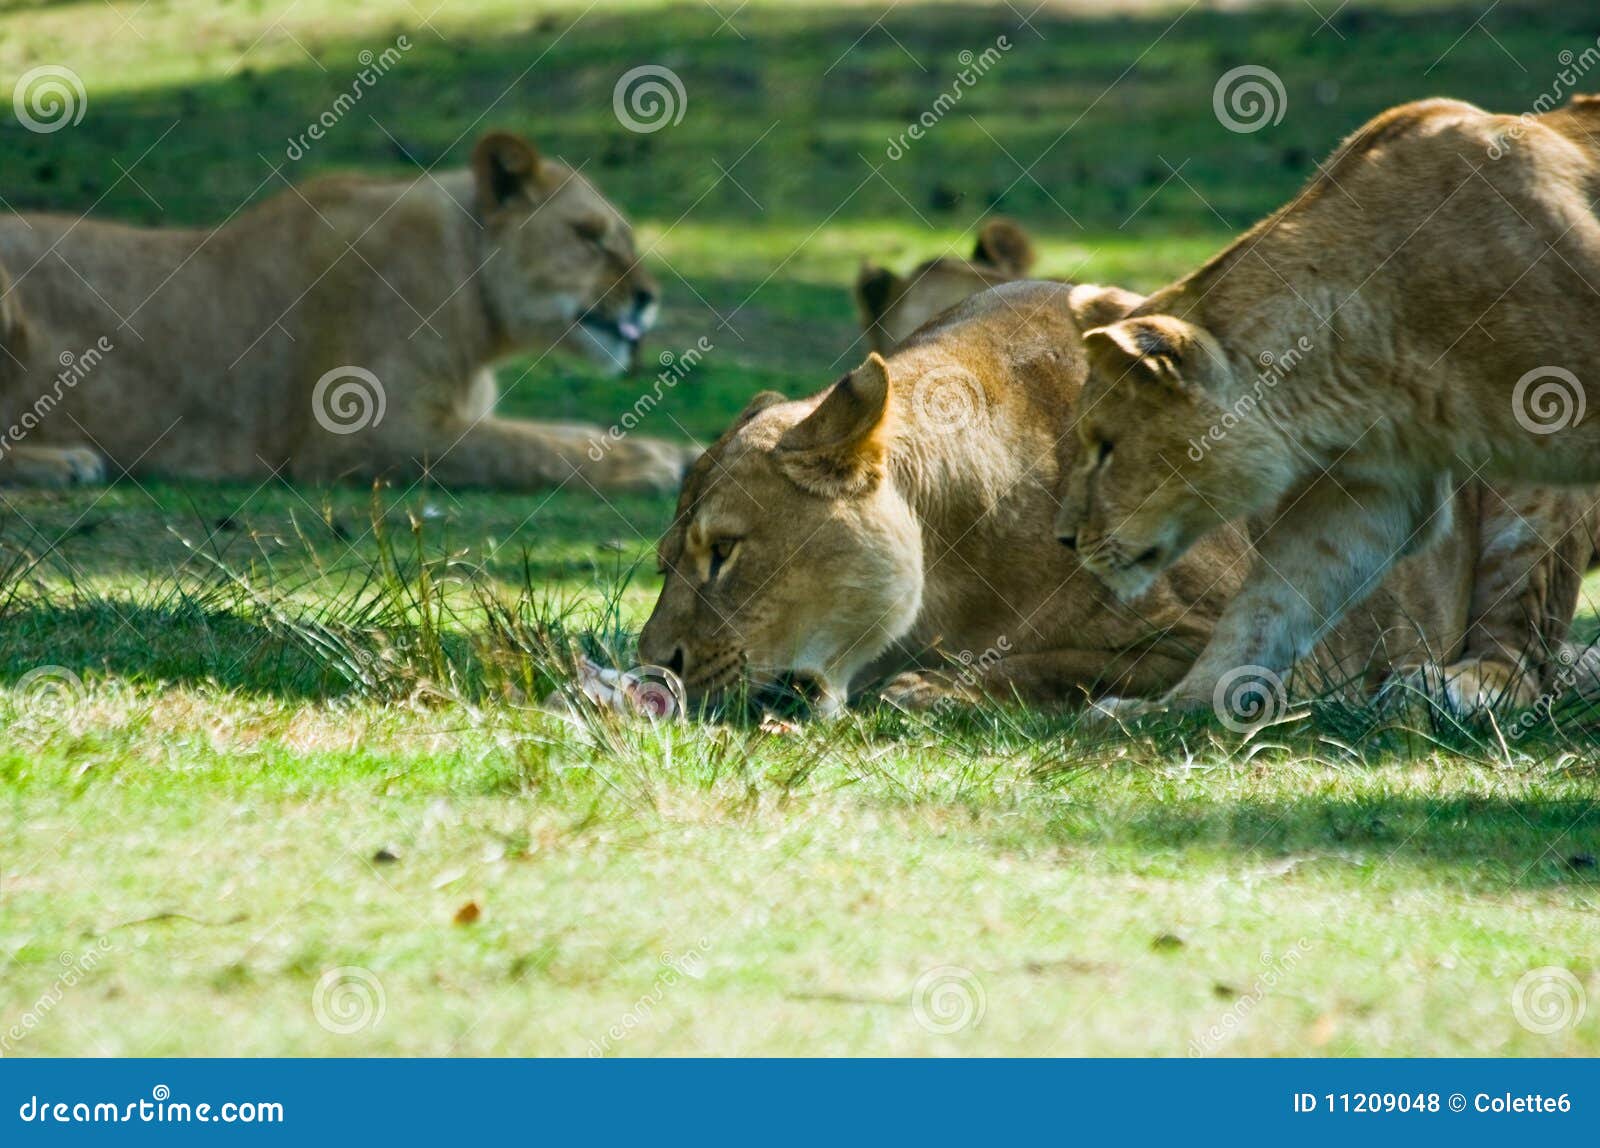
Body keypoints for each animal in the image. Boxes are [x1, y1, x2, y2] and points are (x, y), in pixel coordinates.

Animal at [0, 131, 691, 493]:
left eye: (623, 239)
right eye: (590, 237)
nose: (649, 297)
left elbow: (564, 432)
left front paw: (675, 450)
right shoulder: (364, 434)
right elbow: (529, 450)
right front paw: (649, 466)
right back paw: (66, 461)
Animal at [638, 281, 1596, 717]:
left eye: (725, 552)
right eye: (663, 562)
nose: (655, 666)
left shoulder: (1239, 646)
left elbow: (1050, 663)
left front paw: (933, 687)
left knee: (1525, 661)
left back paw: (1444, 686)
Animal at [1054, 95, 1600, 717]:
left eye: (1106, 447)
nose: (1064, 540)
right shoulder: (1374, 486)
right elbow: (1266, 607)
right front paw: (1167, 707)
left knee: (1525, 660)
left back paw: (1451, 685)